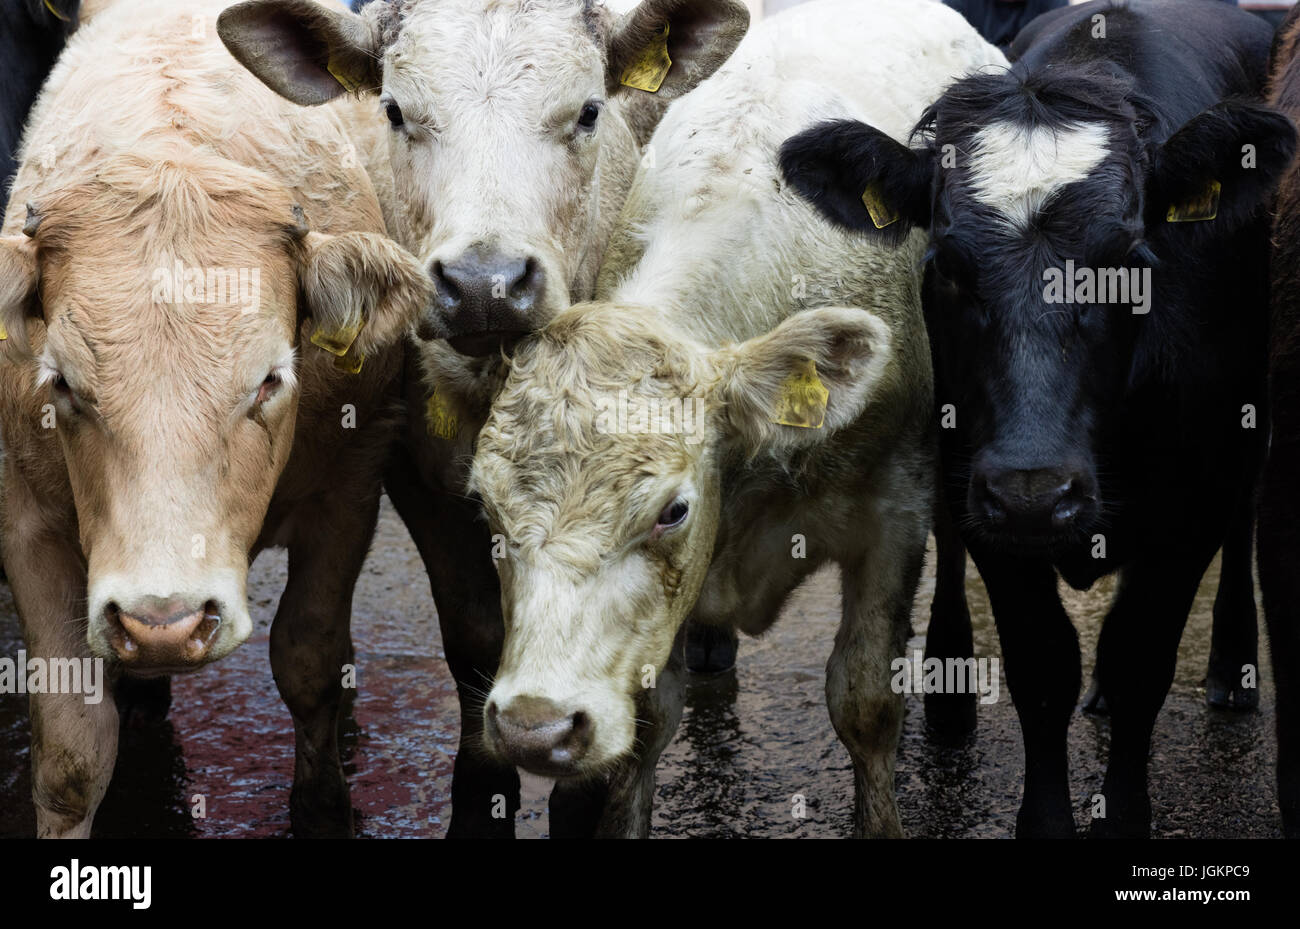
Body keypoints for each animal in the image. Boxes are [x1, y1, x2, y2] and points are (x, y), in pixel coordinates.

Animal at [0, 0, 434, 837]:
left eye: (269, 380)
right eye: (62, 383)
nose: (162, 622)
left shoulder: (350, 487)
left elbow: (306, 659)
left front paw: (322, 804)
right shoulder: (28, 520)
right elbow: (71, 752)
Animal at [216, 0, 750, 836]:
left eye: (588, 111)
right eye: (395, 111)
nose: (484, 283)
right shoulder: (419, 474)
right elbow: (471, 635)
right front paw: (483, 784)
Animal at [464, 0, 1003, 837]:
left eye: (672, 510)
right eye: (485, 507)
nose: (535, 726)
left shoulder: (893, 513)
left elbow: (865, 701)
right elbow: (651, 723)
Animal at [780, 0, 1296, 837]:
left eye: (1131, 264)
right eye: (946, 269)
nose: (1035, 491)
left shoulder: (1193, 494)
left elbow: (1140, 652)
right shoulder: (984, 492)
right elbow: (1043, 663)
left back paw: (1231, 664)